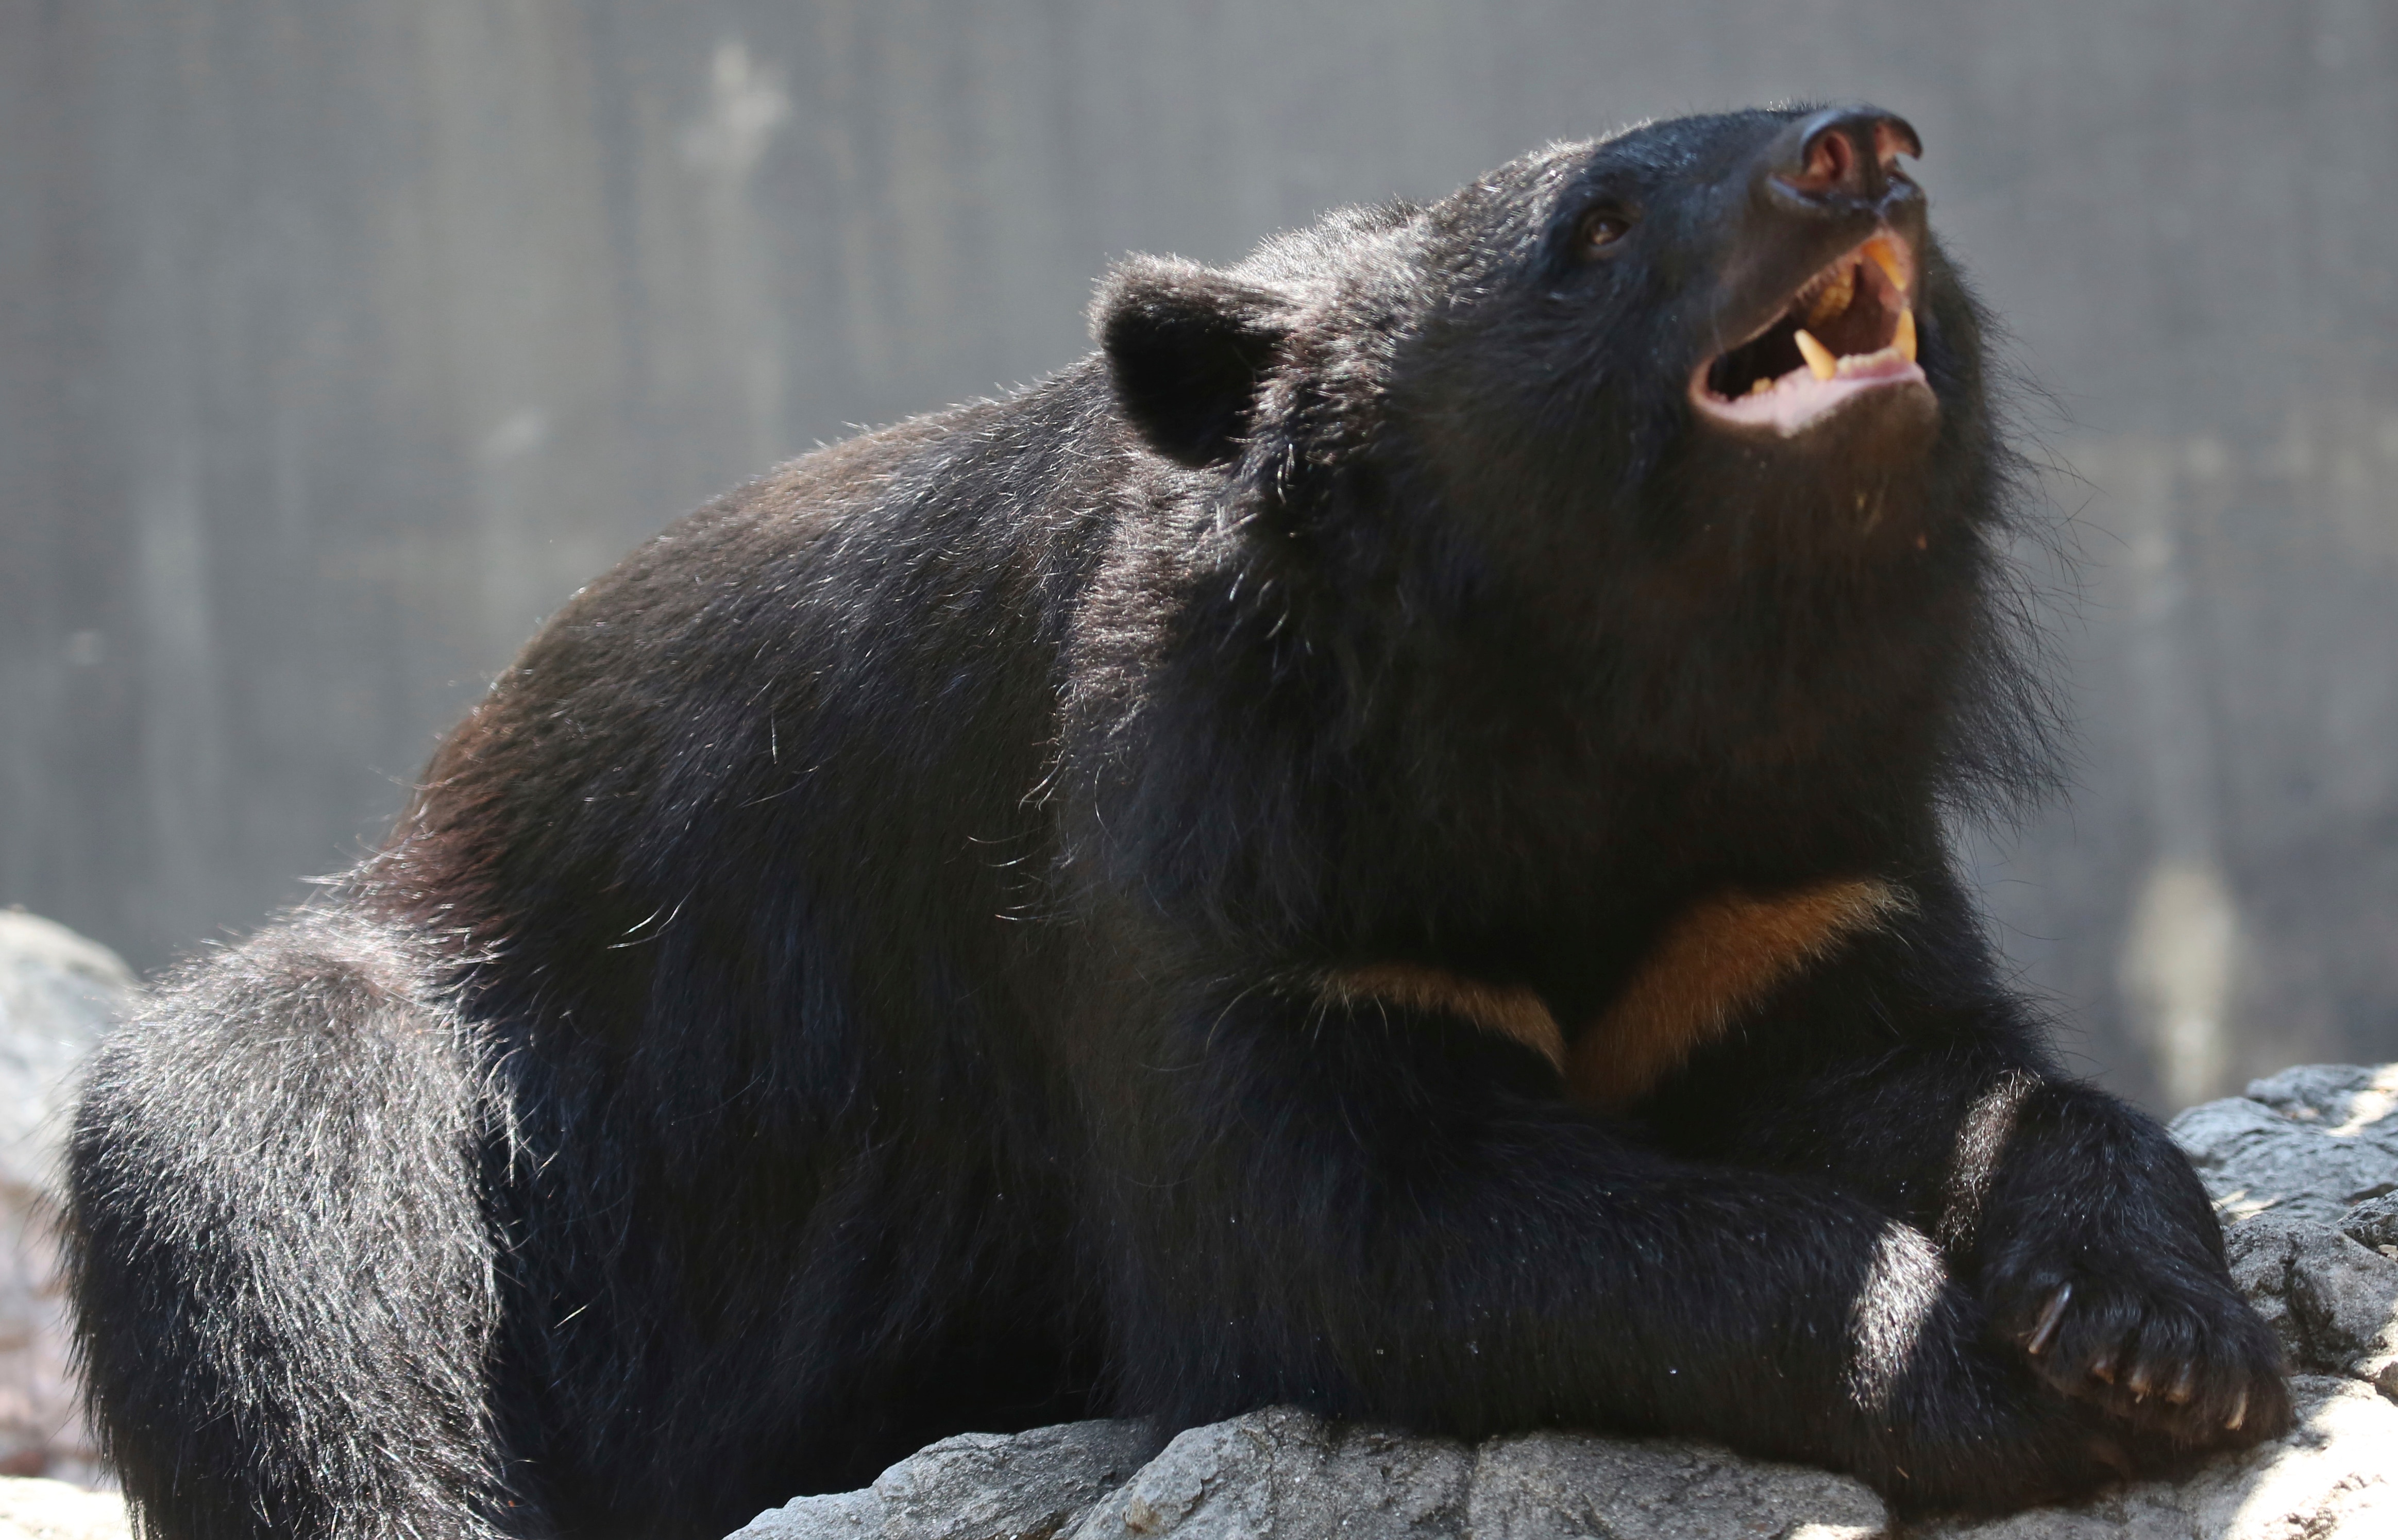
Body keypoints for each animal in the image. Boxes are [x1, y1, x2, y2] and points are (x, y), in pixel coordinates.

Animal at [65, 103, 2291, 1540]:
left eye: (1860, 162)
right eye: (1593, 229)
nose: (1859, 148)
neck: (1600, 706)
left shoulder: (1784, 858)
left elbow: (1922, 1066)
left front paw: (2152, 1334)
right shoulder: (1211, 871)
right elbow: (1359, 1226)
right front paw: (1981, 1382)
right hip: (449, 1054)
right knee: (268, 1220)